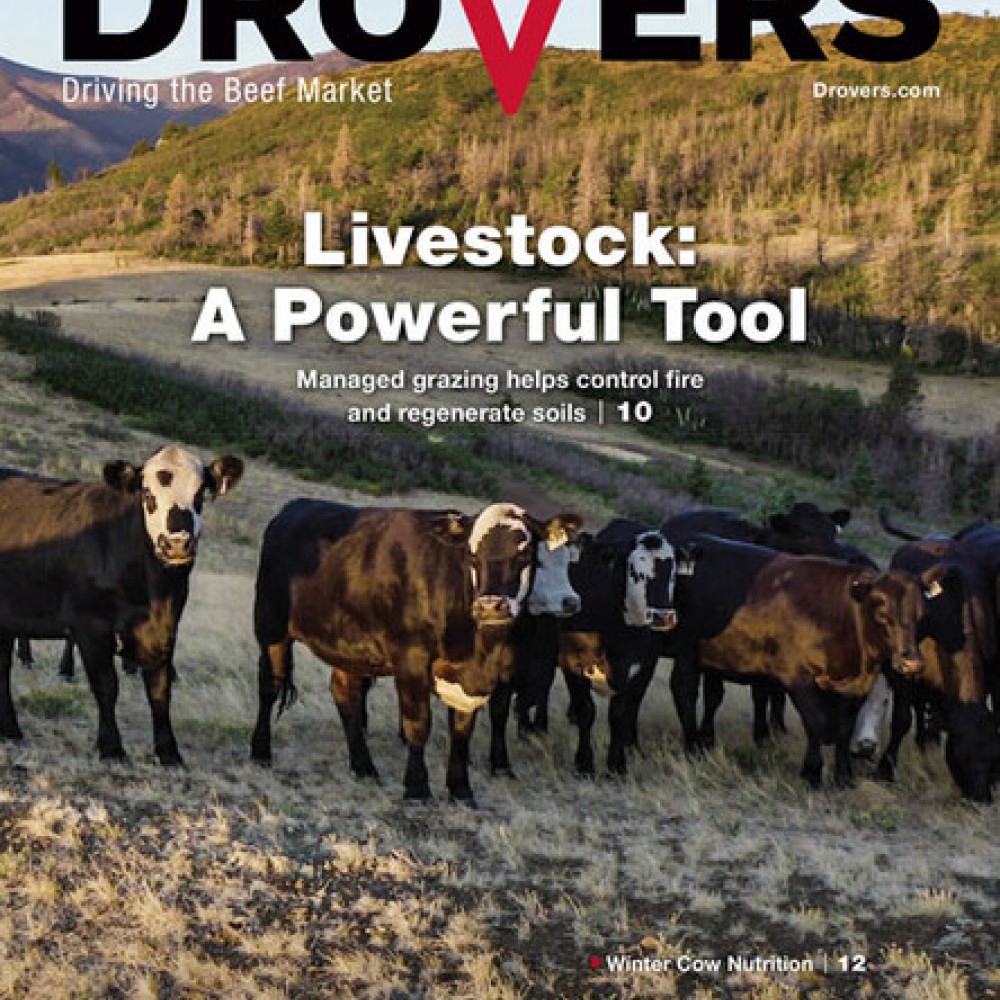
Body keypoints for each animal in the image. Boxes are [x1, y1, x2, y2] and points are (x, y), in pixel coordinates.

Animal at [0, 448, 243, 765]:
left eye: (200, 493)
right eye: (147, 493)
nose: (177, 544)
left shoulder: (165, 627)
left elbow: (159, 689)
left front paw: (169, 752)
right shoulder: (90, 625)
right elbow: (106, 686)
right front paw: (112, 747)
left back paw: (10, 730)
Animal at [250, 500, 581, 805]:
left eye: (525, 555)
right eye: (471, 555)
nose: (490, 605)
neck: (478, 650)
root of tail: (295, 506)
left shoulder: (470, 680)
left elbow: (462, 728)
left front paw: (460, 789)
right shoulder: (411, 658)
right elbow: (418, 724)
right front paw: (417, 788)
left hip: (349, 647)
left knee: (345, 694)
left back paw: (364, 767)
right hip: (270, 625)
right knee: (269, 686)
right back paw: (260, 752)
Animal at [488, 519, 686, 778]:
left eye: (672, 572)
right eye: (634, 571)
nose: (663, 617)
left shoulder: (636, 668)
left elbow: (619, 714)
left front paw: (617, 766)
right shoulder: (574, 665)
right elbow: (585, 710)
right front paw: (584, 764)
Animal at [659, 534, 948, 788]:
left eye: (921, 615)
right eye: (881, 613)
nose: (912, 663)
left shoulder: (854, 687)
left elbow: (843, 728)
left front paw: (844, 776)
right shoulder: (797, 676)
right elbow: (818, 723)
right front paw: (812, 773)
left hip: (715, 657)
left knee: (712, 695)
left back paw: (705, 741)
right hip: (687, 648)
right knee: (684, 690)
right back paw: (692, 746)